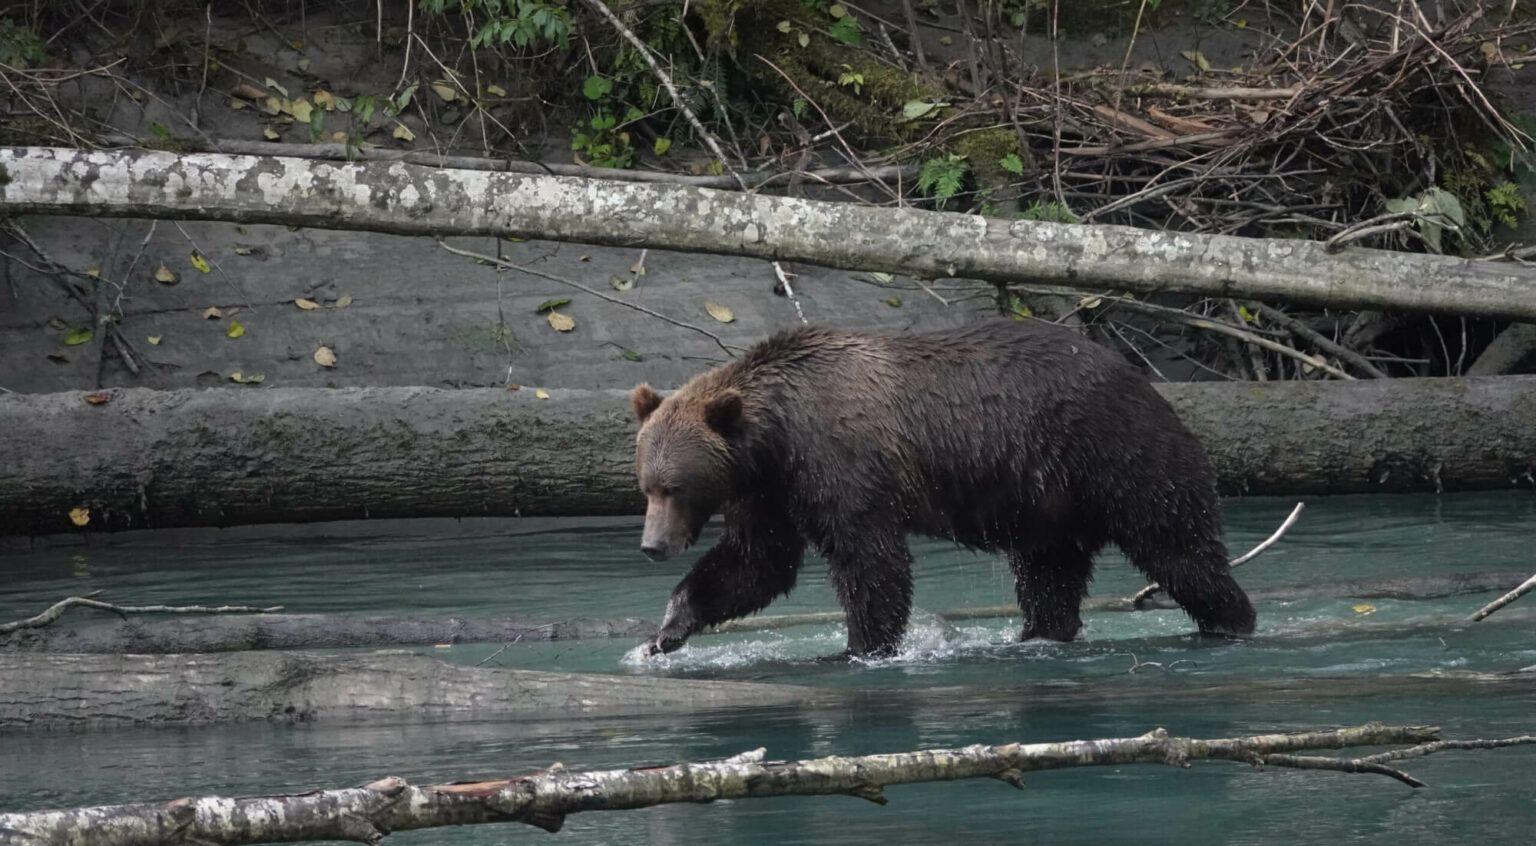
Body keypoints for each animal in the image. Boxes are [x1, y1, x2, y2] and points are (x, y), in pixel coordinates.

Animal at [628, 318, 1256, 660]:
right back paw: (1039, 633)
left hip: (1116, 453)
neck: (777, 435)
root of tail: (1146, 382)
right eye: (646, 487)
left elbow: (870, 559)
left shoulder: (841, 462)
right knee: (1049, 573)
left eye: (676, 486)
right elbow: (758, 562)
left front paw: (861, 647)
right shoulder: (769, 489)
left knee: (1177, 545)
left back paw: (1233, 620)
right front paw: (667, 629)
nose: (652, 546)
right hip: (1048, 499)